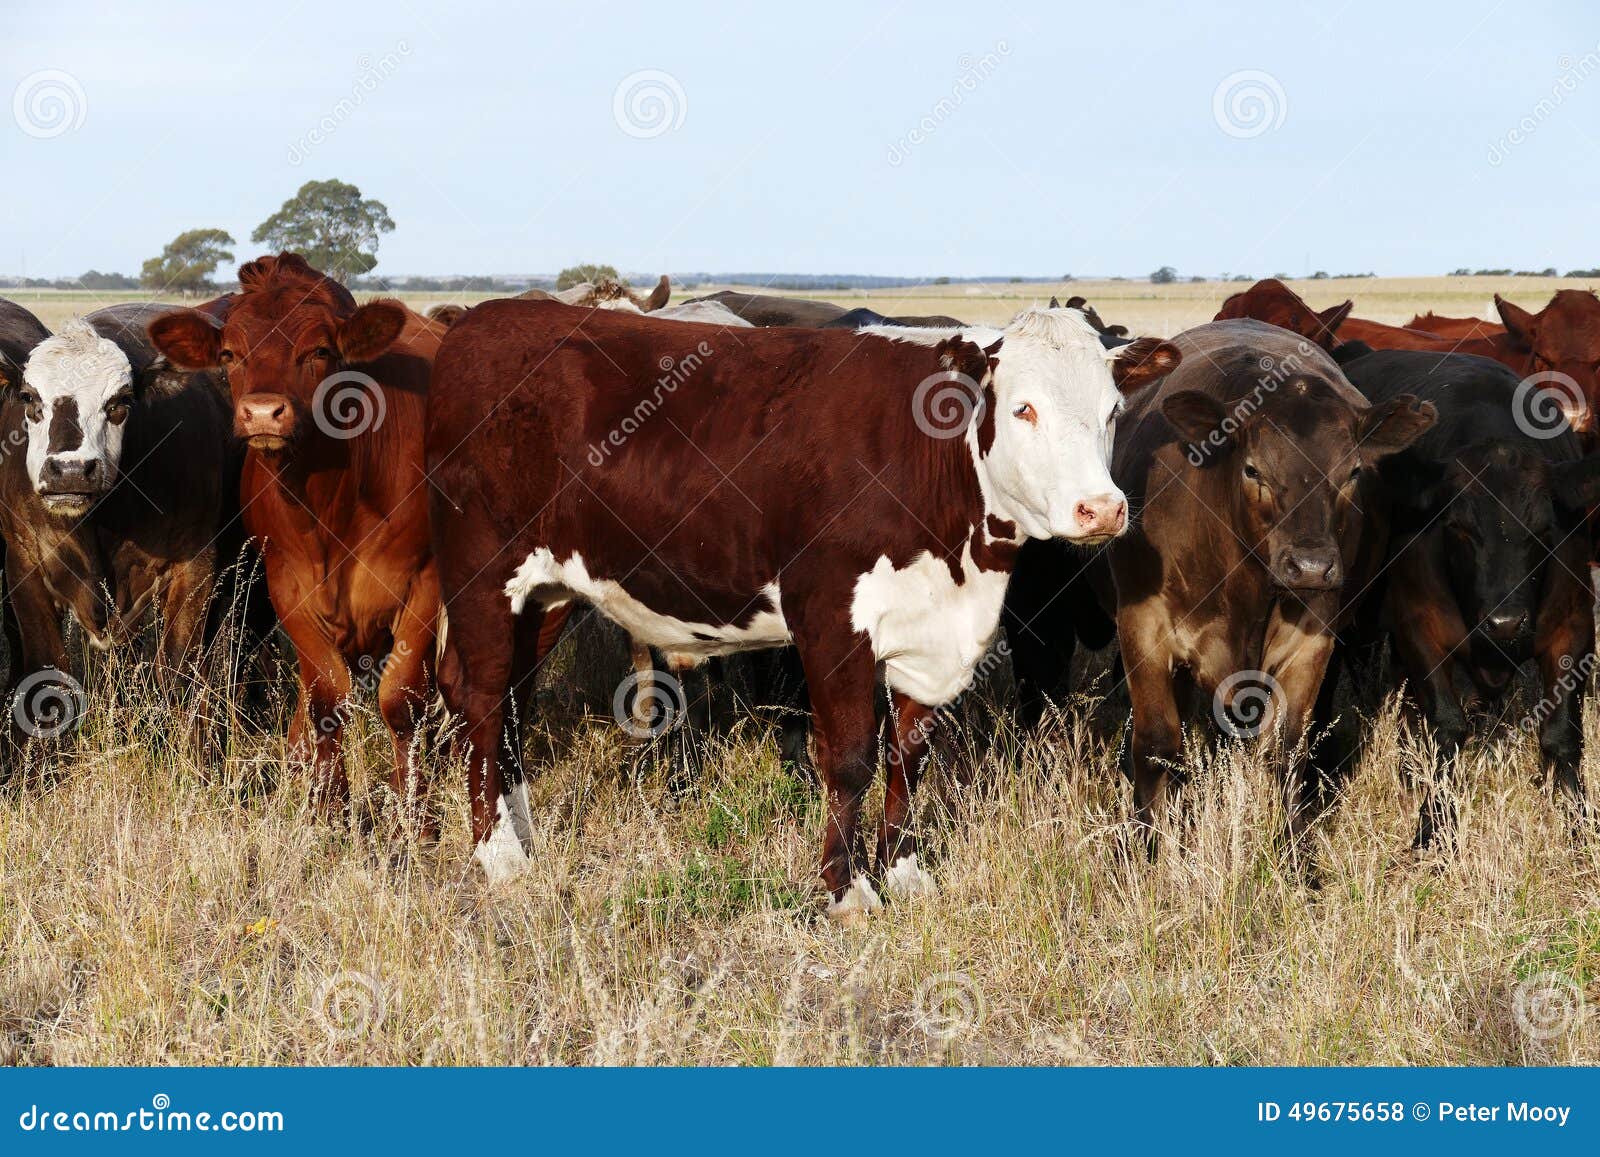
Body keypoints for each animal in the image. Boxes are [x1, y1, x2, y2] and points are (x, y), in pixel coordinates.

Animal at [0, 302, 265, 749]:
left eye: (120, 401)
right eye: (29, 397)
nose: (71, 471)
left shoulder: (195, 567)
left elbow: (178, 672)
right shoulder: (24, 564)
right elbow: (45, 675)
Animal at [147, 253, 444, 832]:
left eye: (320, 351)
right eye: (230, 354)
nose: (263, 412)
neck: (332, 502)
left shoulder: (424, 585)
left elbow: (402, 702)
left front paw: (416, 820)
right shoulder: (289, 587)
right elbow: (326, 697)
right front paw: (329, 810)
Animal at [424, 300, 1176, 917]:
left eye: (1112, 413)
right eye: (1023, 408)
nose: (1101, 509)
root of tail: (485, 319)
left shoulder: (932, 633)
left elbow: (909, 752)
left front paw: (903, 873)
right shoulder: (829, 619)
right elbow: (848, 757)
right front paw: (848, 891)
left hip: (546, 593)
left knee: (510, 697)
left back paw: (520, 830)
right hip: (484, 572)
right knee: (482, 697)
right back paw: (497, 853)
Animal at [1109, 320, 1434, 856]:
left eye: (1352, 472)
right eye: (1253, 469)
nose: (1310, 565)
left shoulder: (1311, 635)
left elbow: (1288, 746)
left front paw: (1297, 852)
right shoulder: (1143, 625)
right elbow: (1156, 746)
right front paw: (1147, 851)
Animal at [1333, 345, 1598, 847]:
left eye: (1541, 529)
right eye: (1458, 528)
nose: (1505, 622)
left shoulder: (1572, 628)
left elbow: (1561, 734)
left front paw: (1578, 822)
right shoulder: (1419, 629)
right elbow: (1446, 726)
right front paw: (1433, 825)